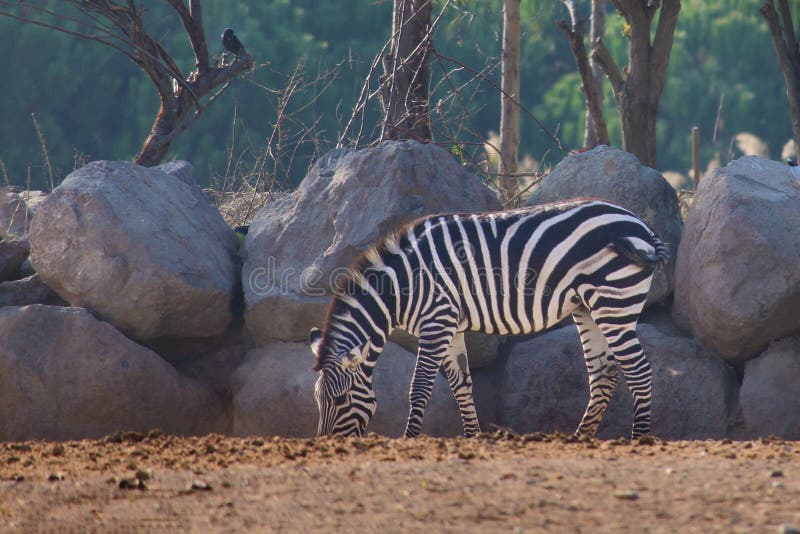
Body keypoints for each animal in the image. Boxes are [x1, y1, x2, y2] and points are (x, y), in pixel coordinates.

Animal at [309, 198, 670, 439]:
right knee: (603, 376)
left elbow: (420, 387)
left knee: (639, 371)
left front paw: (409, 440)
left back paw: (639, 440)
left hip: (614, 303)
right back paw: (580, 440)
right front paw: (473, 439)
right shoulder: (451, 326)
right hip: (588, 307)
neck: (403, 285)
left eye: (340, 399)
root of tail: (640, 224)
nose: (327, 446)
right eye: (317, 399)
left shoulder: (436, 321)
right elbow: (462, 386)